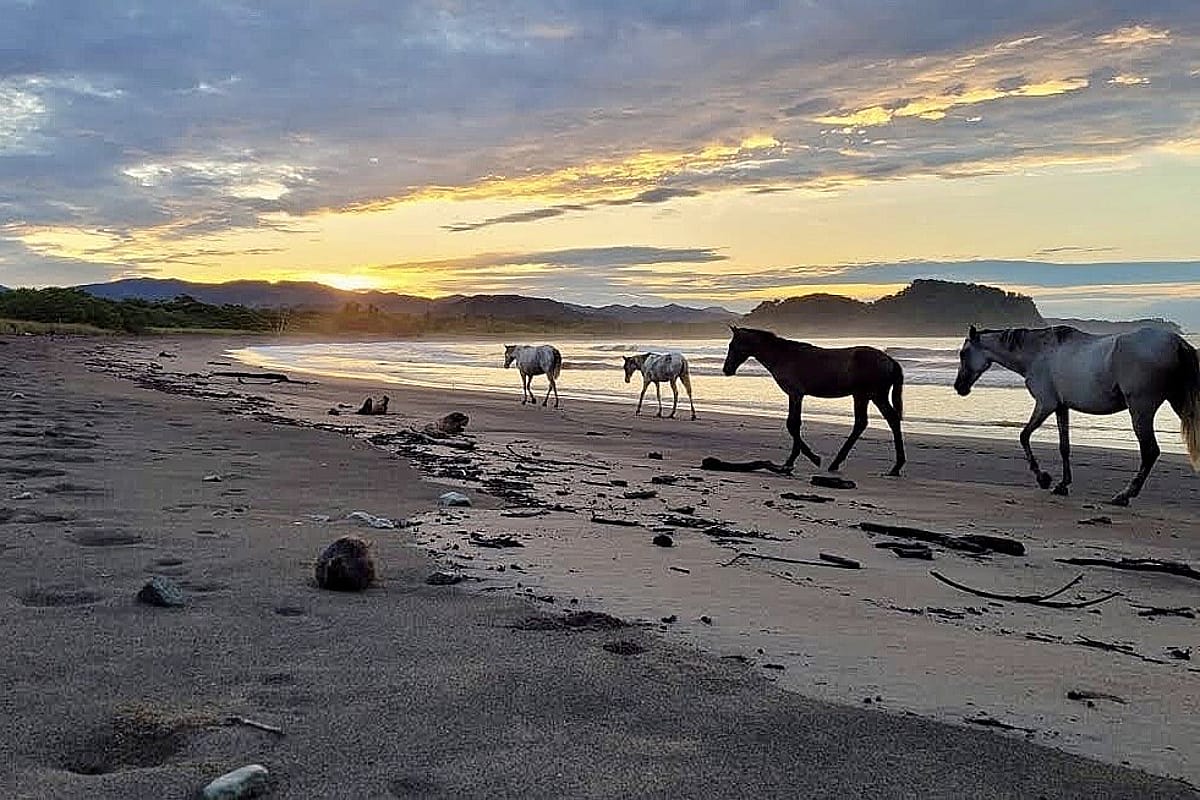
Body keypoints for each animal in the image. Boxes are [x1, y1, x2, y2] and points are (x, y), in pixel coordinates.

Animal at [721, 326, 906, 476]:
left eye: (732, 345)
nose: (726, 370)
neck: (784, 356)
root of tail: (890, 360)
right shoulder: (795, 395)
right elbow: (794, 425)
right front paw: (794, 462)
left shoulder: (795, 394)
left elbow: (793, 425)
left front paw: (805, 459)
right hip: (866, 396)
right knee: (870, 422)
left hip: (870, 396)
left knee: (885, 420)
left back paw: (894, 467)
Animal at [954, 324, 1200, 505]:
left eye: (963, 353)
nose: (959, 387)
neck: (1039, 353)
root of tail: (1176, 342)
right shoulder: (1061, 407)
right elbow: (1064, 447)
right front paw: (1062, 484)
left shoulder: (1045, 404)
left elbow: (1024, 436)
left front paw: (1043, 478)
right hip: (1175, 403)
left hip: (1141, 410)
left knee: (1150, 451)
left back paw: (1124, 495)